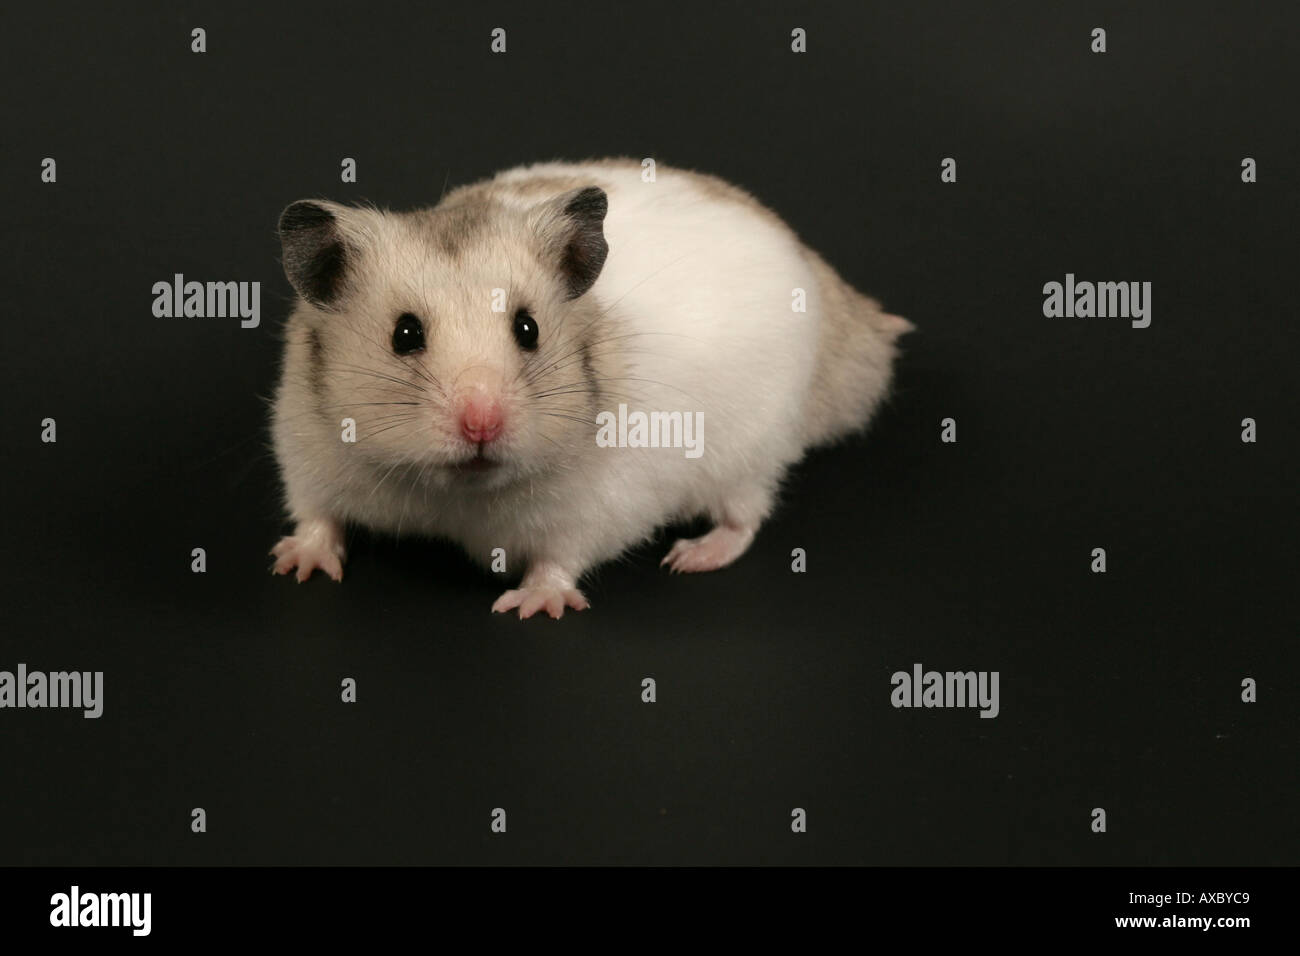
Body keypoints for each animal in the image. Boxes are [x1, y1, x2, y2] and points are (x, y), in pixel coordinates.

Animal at [269, 158, 912, 618]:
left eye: (528, 329)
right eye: (405, 334)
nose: (482, 424)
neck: (450, 491)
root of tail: (822, 280)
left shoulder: (598, 507)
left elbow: (561, 557)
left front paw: (532, 604)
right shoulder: (307, 449)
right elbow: (316, 516)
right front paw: (293, 563)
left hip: (751, 452)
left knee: (746, 517)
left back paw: (692, 557)